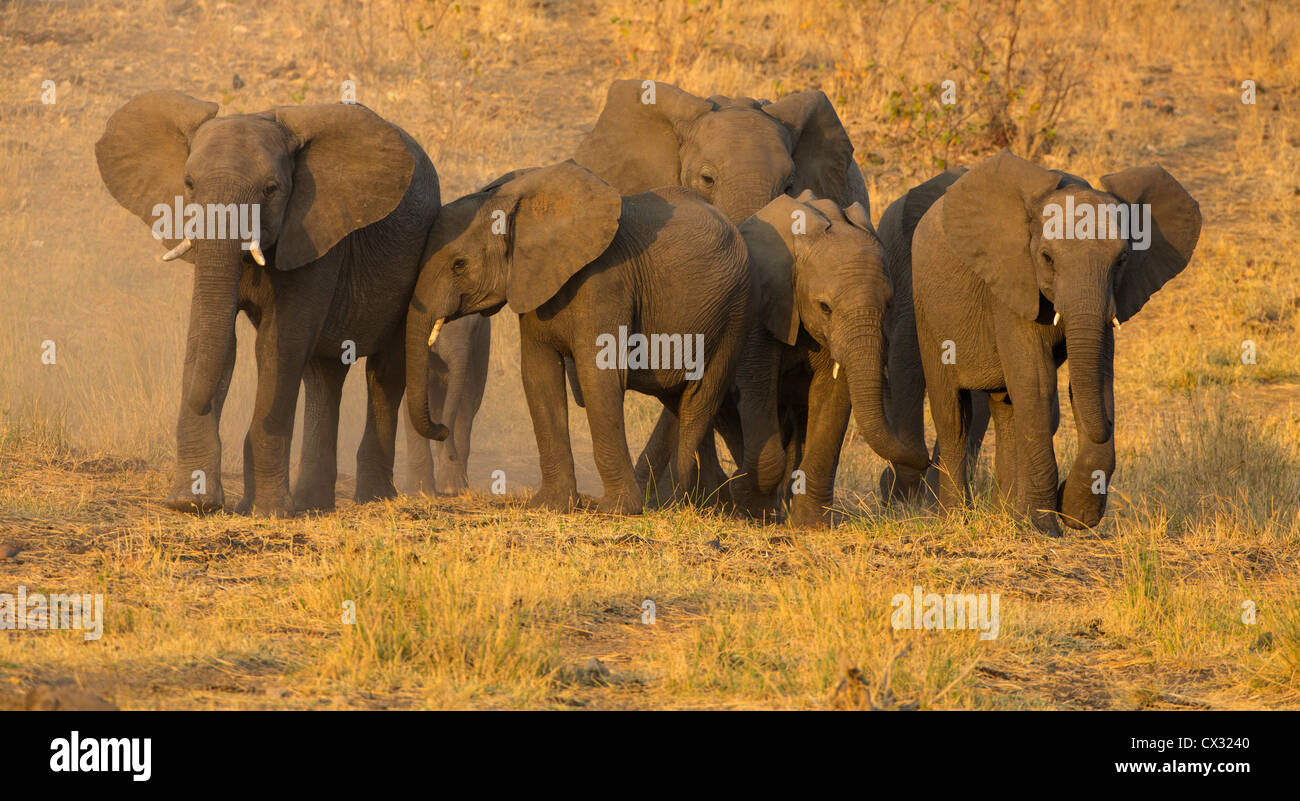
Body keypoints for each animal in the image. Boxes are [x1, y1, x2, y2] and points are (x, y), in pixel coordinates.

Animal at [96, 91, 440, 516]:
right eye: (188, 184)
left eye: (272, 189)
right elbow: (212, 339)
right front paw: (191, 503)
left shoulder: (313, 233)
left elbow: (278, 345)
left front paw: (266, 511)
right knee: (323, 376)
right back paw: (312, 504)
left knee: (384, 374)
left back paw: (370, 499)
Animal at [909, 150, 1201, 536]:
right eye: (1047, 259)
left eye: (1122, 260)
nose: (1063, 496)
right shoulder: (1011, 282)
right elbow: (1038, 385)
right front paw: (1044, 525)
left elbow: (1095, 384)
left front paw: (1072, 514)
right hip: (927, 310)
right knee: (953, 415)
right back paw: (956, 519)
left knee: (1007, 410)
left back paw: (1005, 515)